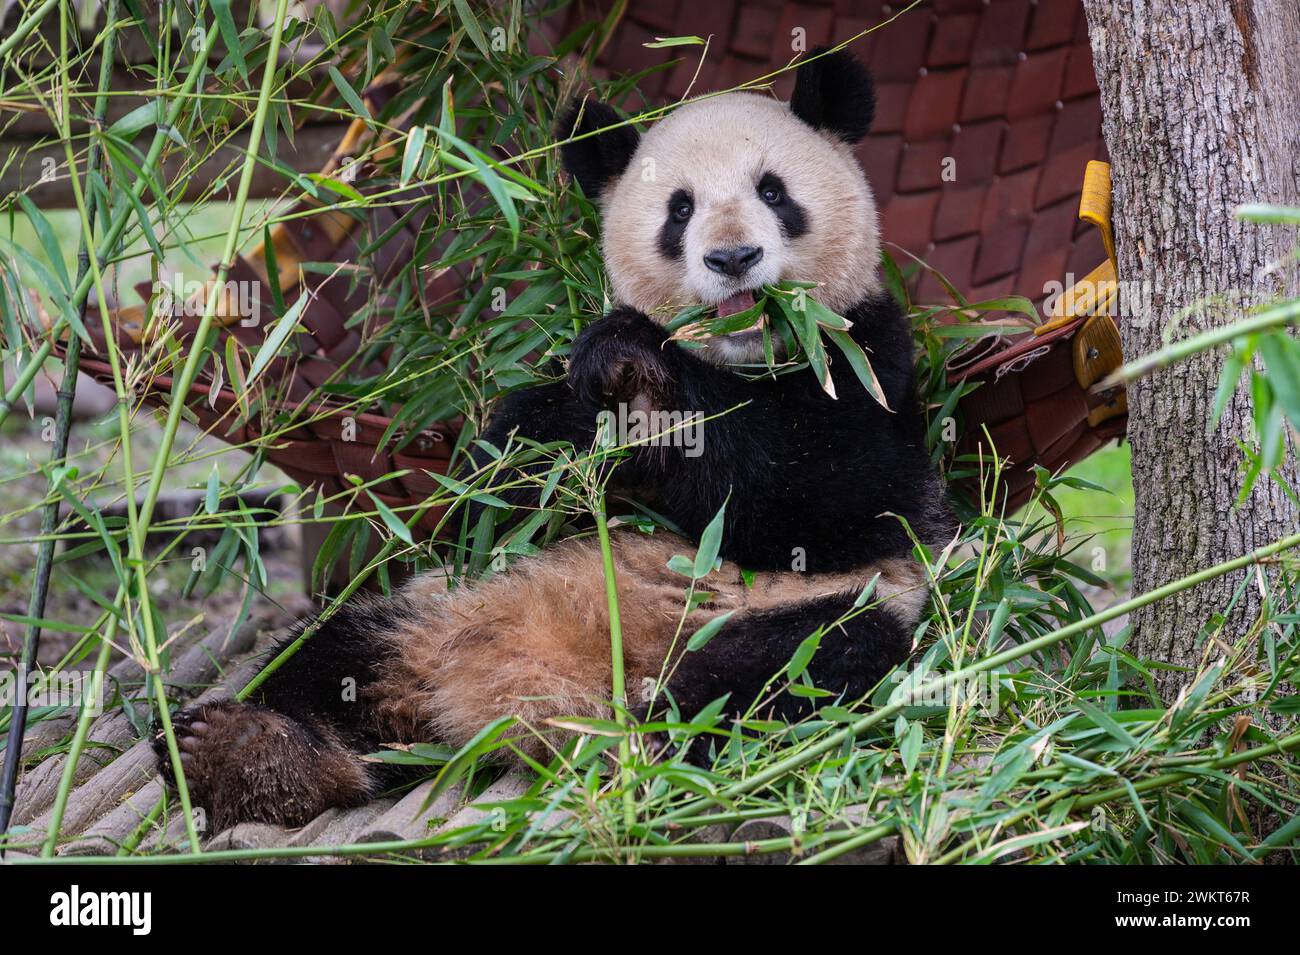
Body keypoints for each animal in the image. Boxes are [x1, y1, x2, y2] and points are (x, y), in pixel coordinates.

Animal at [155, 49, 955, 831]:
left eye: (773, 191)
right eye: (681, 208)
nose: (732, 258)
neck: (742, 359)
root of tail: (541, 695)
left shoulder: (869, 361)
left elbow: (831, 492)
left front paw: (647, 379)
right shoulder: (545, 421)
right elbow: (503, 476)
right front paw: (618, 390)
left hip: (793, 613)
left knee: (788, 669)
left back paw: (648, 741)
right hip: (450, 603)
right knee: (332, 654)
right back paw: (242, 752)